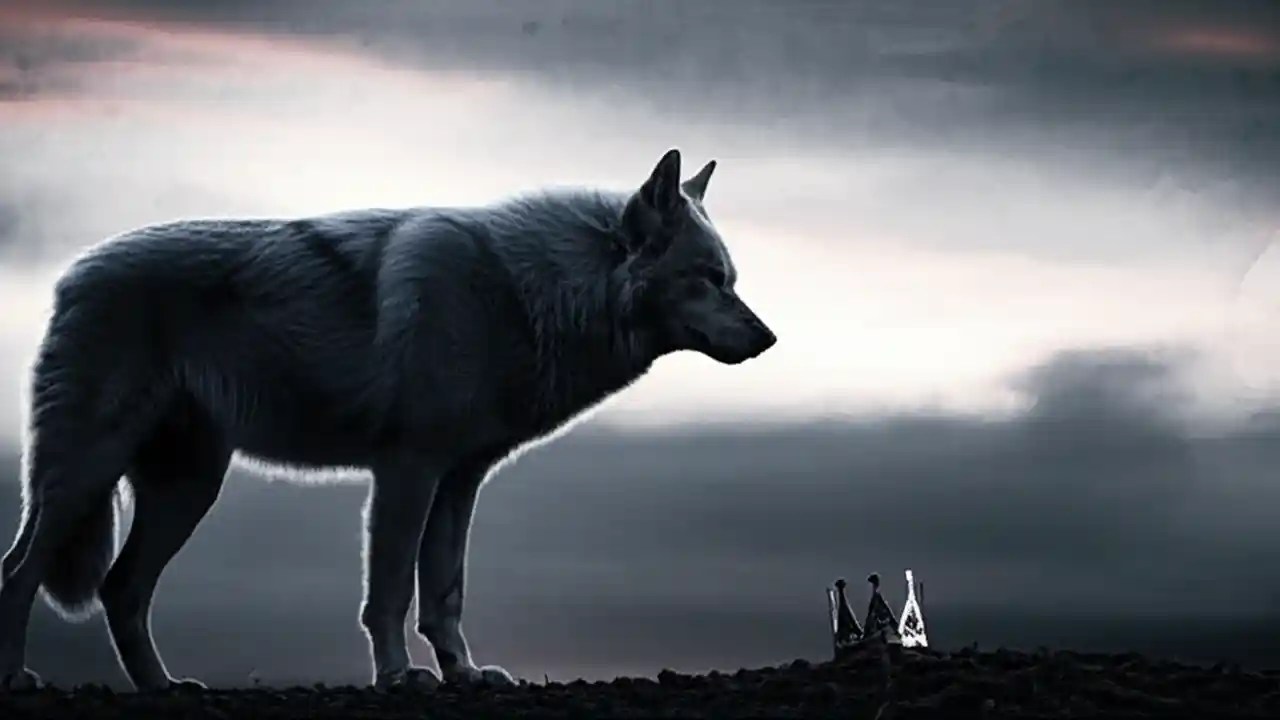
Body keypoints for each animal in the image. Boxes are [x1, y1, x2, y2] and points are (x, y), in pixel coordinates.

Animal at [0, 148, 775, 692]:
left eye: (731, 280)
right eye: (709, 279)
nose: (768, 338)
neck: (523, 292)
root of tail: (73, 273)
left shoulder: (459, 480)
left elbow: (445, 590)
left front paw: (463, 674)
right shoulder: (408, 471)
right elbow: (391, 593)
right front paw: (400, 675)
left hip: (188, 490)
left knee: (121, 589)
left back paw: (163, 687)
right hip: (86, 473)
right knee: (20, 570)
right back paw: (21, 678)